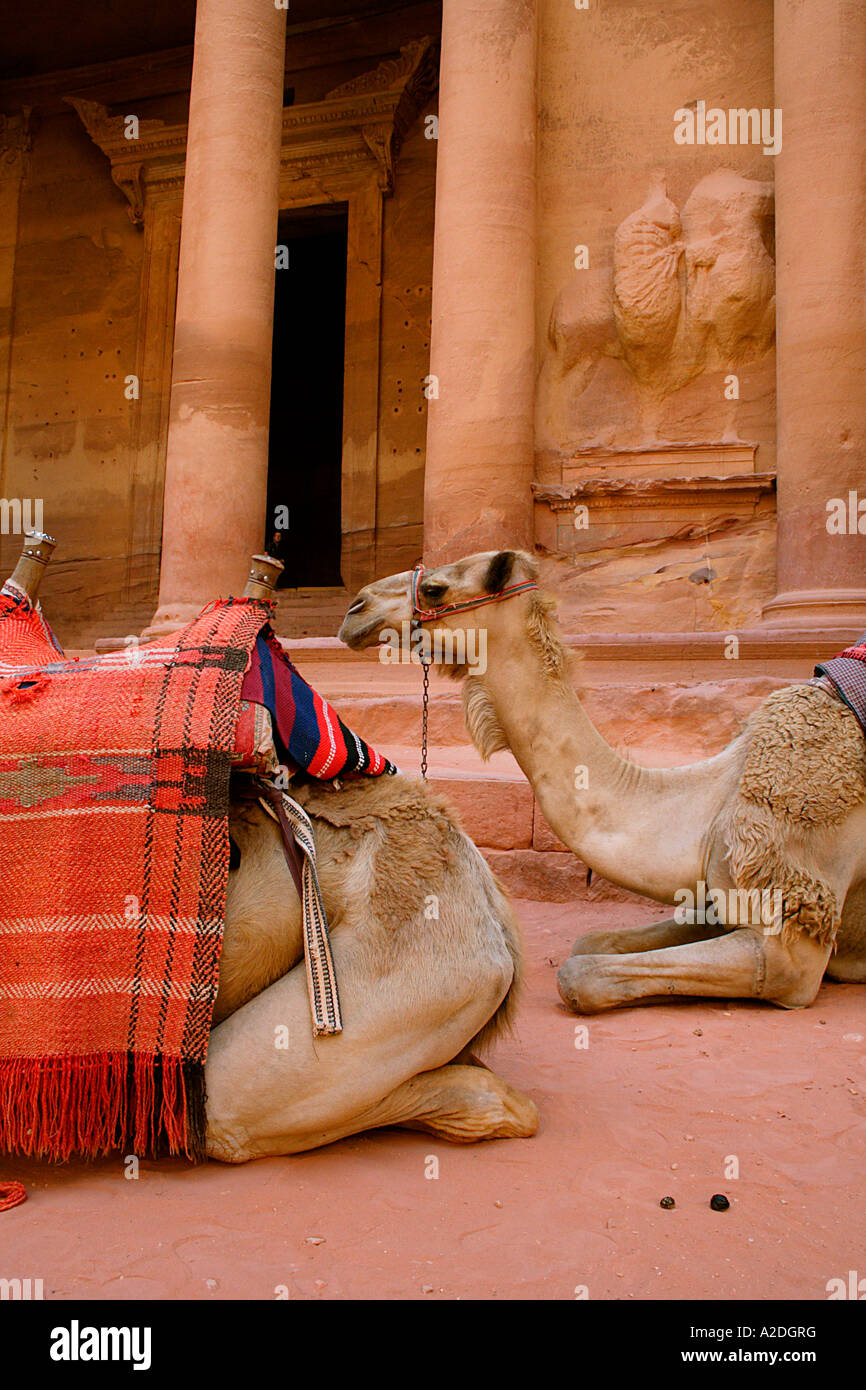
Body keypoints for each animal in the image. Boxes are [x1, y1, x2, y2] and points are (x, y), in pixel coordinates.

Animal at [339, 549, 866, 1016]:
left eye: (434, 588)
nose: (355, 608)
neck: (708, 801)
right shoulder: (714, 898)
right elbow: (593, 940)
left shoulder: (792, 934)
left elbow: (580, 973)